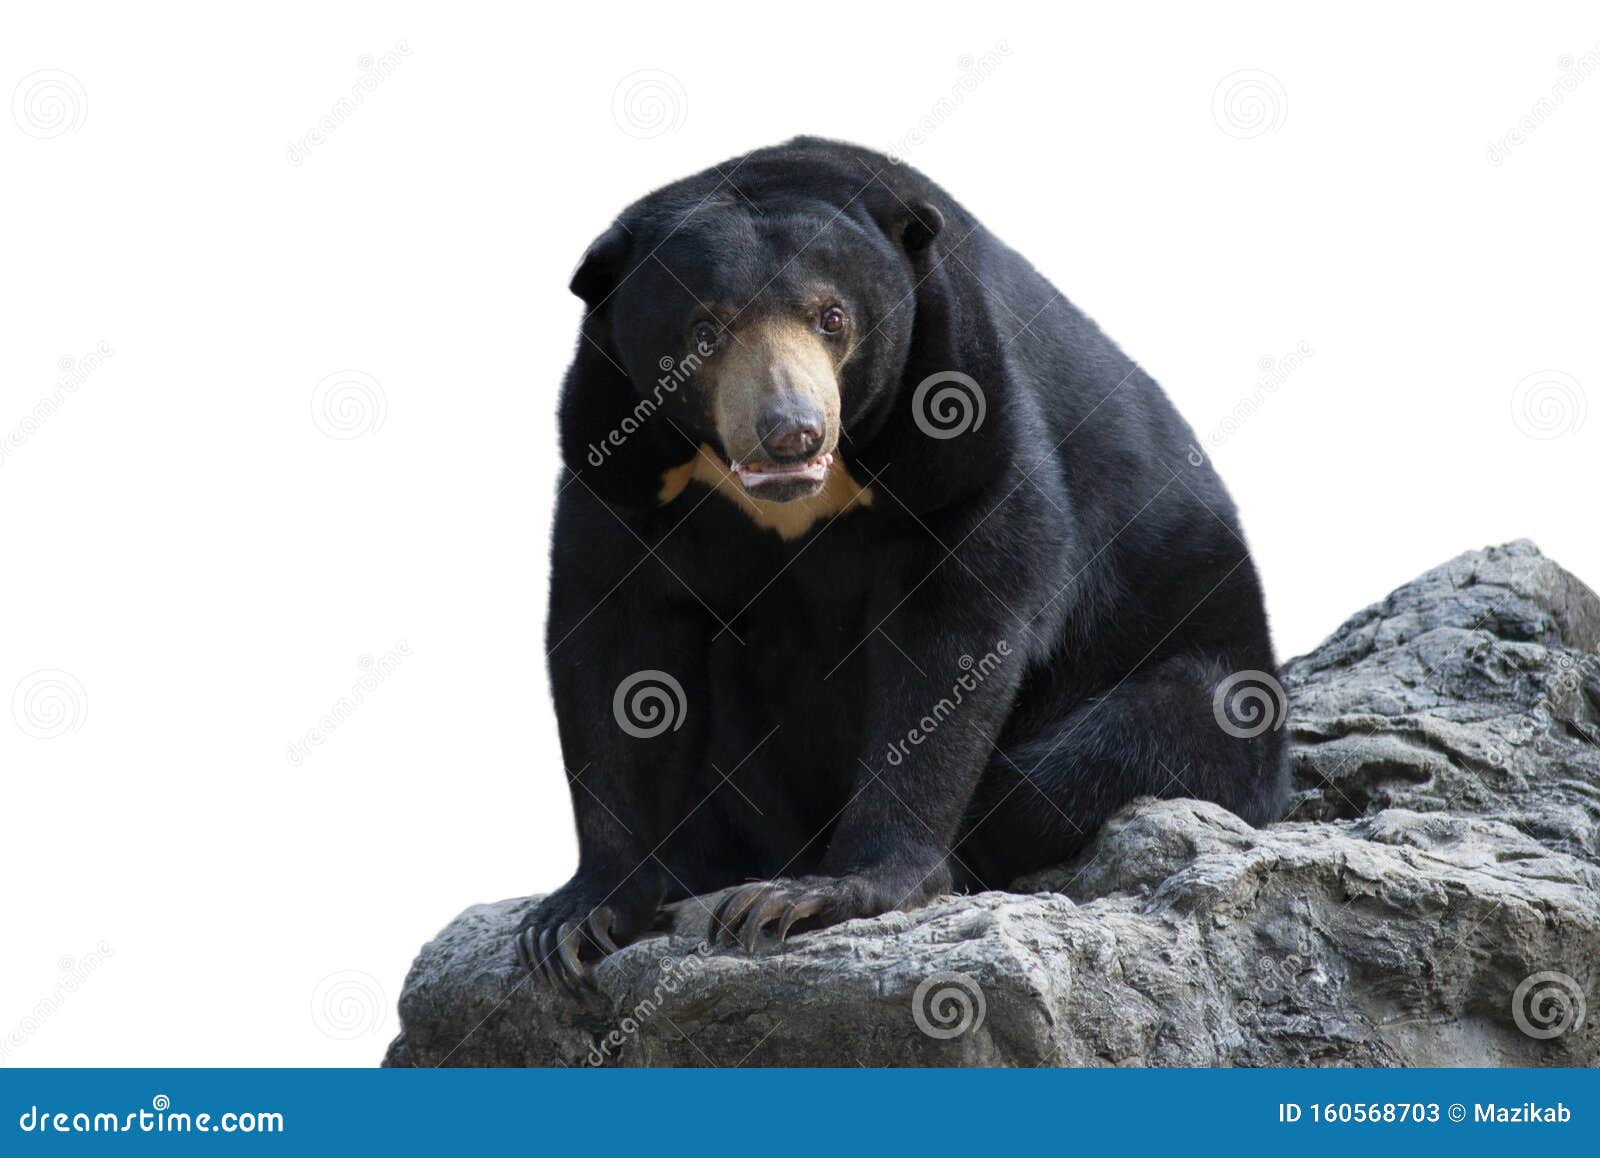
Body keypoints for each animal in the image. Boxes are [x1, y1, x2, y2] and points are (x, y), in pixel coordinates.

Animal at [515, 137, 1290, 989]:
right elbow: (620, 642)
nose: (790, 431)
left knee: (1104, 754)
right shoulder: (612, 459)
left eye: (832, 318)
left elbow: (954, 628)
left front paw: (812, 897)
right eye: (704, 332)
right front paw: (576, 920)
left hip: (1197, 672)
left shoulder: (966, 415)